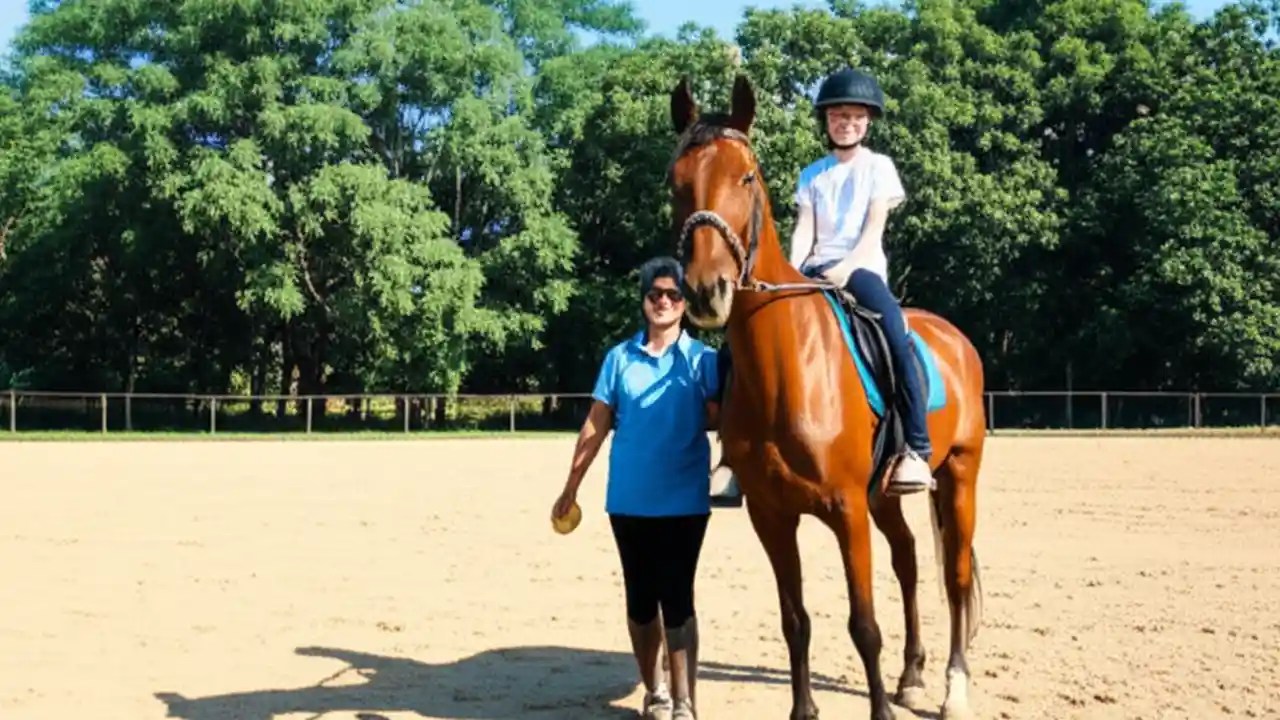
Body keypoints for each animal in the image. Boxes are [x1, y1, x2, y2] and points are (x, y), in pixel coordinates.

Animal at [666, 74, 987, 720]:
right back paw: (911, 676)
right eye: (675, 181)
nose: (707, 290)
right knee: (909, 560)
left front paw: (882, 711)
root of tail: (955, 337)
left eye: (747, 176)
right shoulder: (772, 515)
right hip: (885, 496)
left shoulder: (846, 509)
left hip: (959, 477)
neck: (786, 370)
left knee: (956, 577)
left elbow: (863, 625)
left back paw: (953, 690)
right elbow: (796, 621)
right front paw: (804, 710)